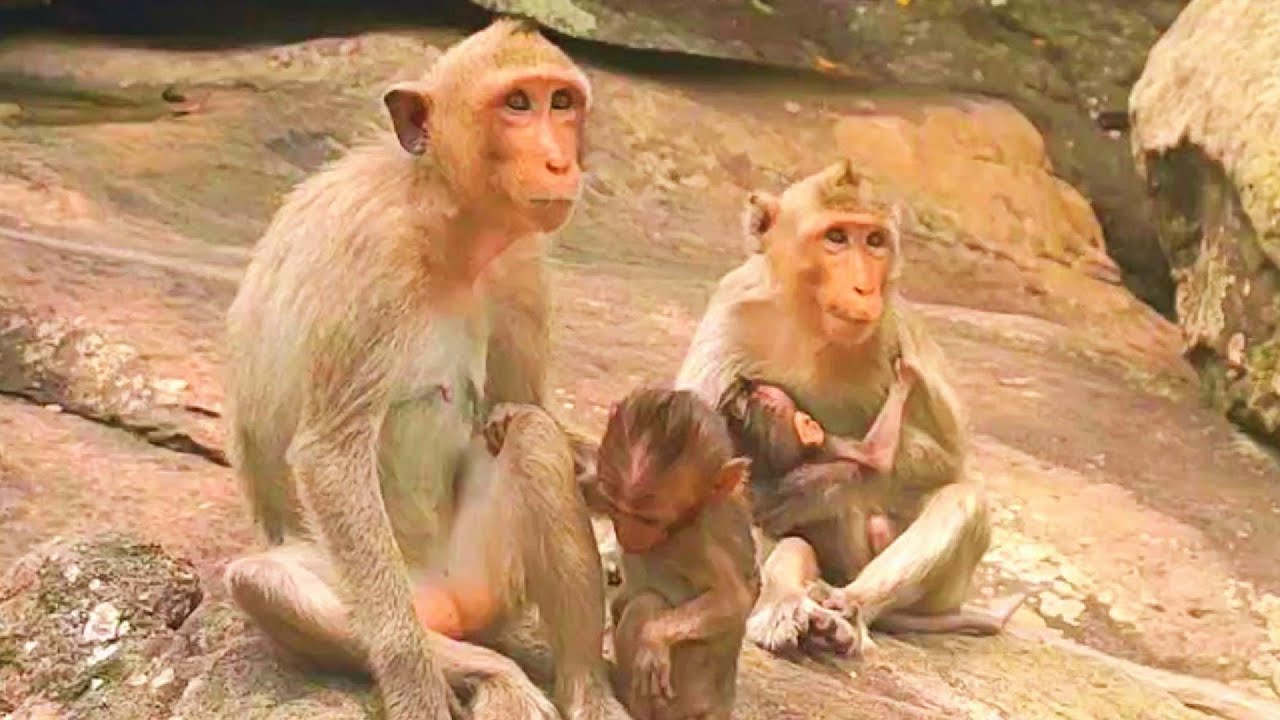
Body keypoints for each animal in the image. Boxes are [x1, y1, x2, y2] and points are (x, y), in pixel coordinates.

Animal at [220, 18, 628, 720]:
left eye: (561, 103)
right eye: (517, 103)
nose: (560, 160)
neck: (445, 221)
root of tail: (445, 601)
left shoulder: (519, 265)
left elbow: (522, 405)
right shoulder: (369, 263)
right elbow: (330, 454)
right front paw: (412, 681)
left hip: (484, 578)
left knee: (528, 434)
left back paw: (585, 688)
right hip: (381, 588)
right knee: (269, 583)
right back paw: (483, 670)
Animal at [580, 387, 760, 720]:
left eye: (649, 519)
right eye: (617, 506)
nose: (627, 533)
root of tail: (719, 704)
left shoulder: (696, 542)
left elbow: (733, 599)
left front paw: (655, 638)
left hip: (685, 692)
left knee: (644, 603)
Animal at [674, 159, 1024, 657]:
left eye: (874, 240)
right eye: (836, 237)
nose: (863, 289)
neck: (811, 324)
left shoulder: (894, 334)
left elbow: (945, 459)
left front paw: (814, 485)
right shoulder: (734, 308)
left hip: (937, 587)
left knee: (962, 500)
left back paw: (846, 605)